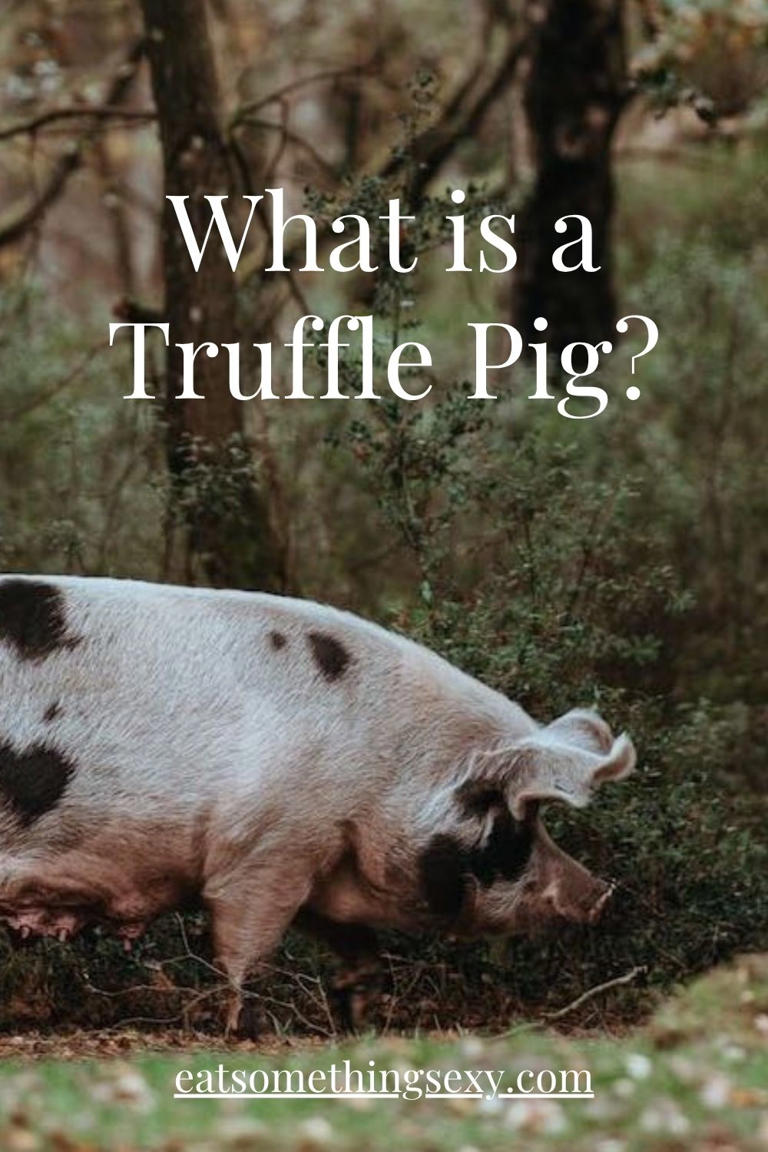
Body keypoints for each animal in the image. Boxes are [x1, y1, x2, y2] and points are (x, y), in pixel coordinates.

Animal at [0, 575, 636, 1032]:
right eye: (510, 819)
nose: (602, 895)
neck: (384, 770)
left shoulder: (319, 858)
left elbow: (357, 947)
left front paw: (357, 1015)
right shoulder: (266, 850)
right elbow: (247, 950)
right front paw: (250, 1029)